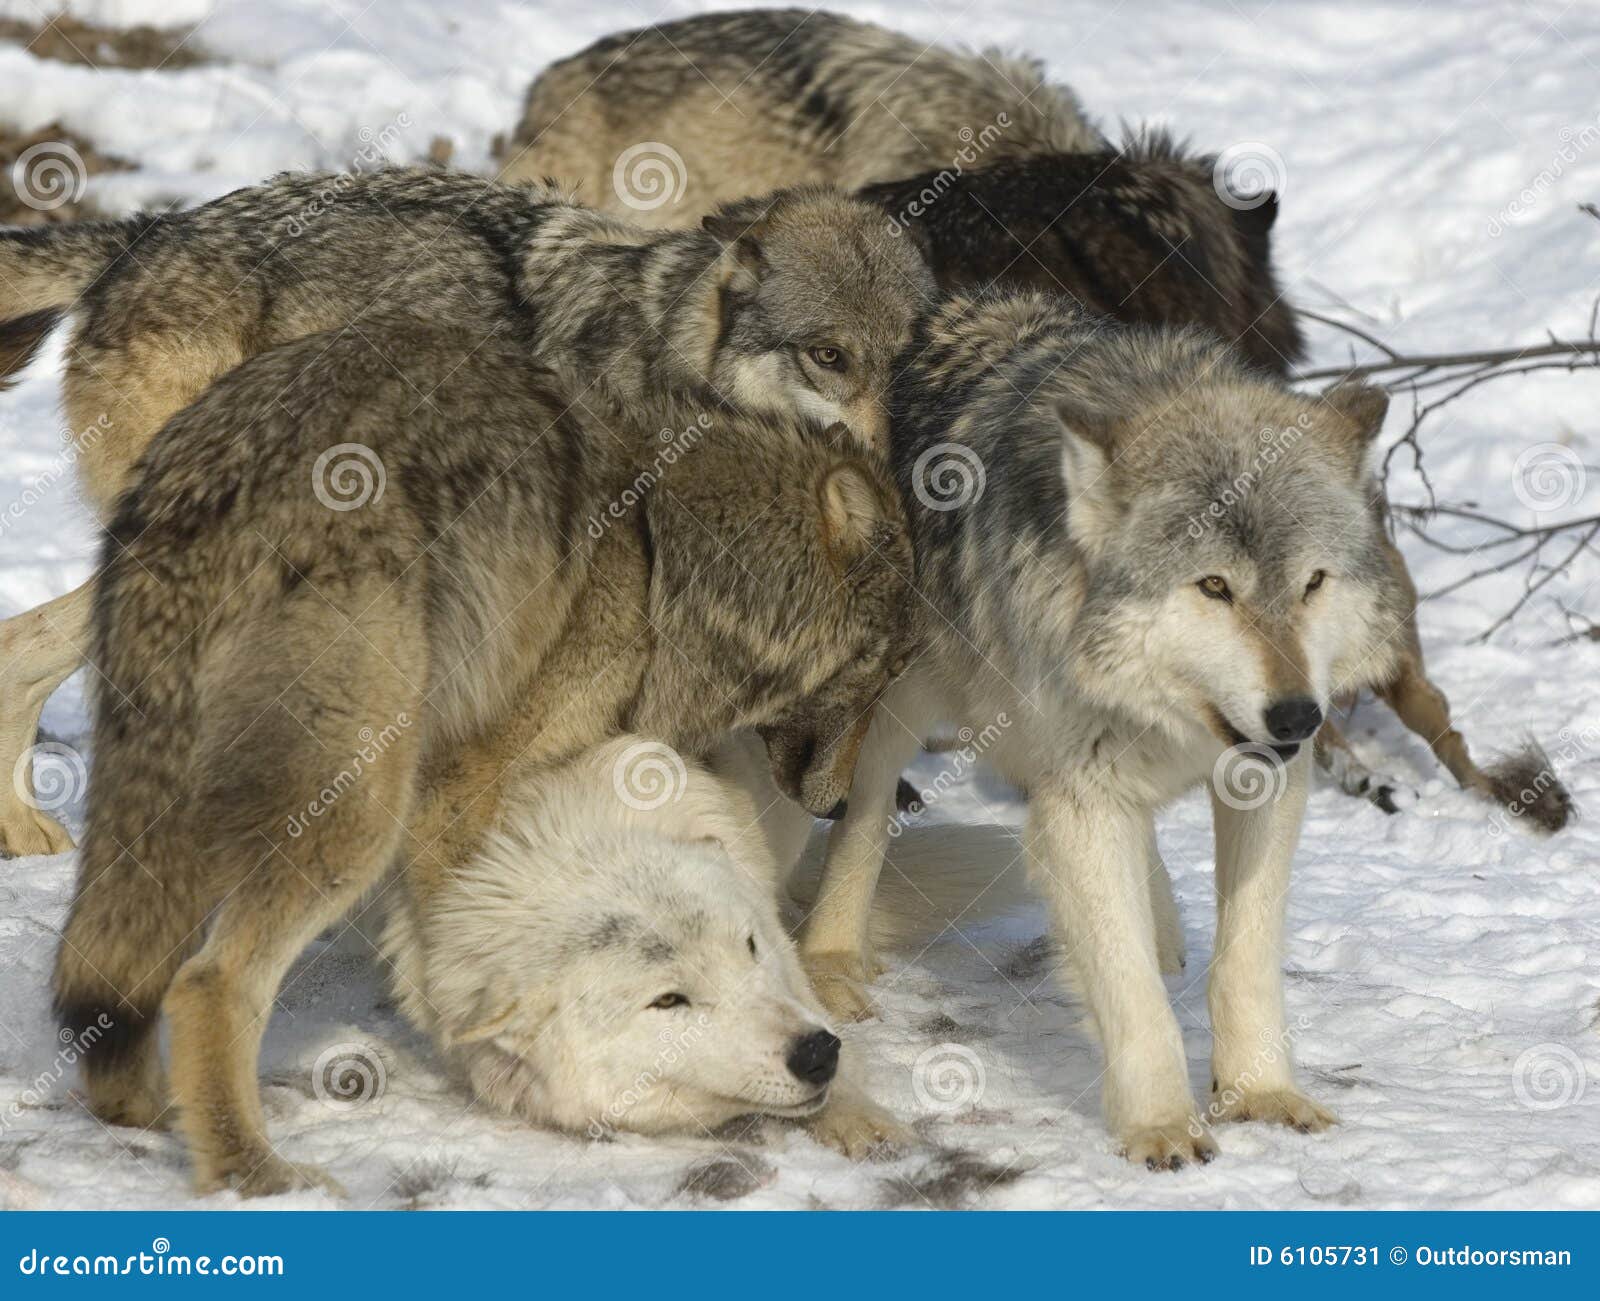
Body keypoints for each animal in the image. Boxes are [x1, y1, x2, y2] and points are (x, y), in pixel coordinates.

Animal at [50, 314, 915, 1196]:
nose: (843, 803)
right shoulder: (462, 782)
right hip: (357, 807)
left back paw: (146, 1109)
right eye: (888, 670)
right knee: (208, 982)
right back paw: (254, 1172)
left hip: (168, 796)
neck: (660, 552)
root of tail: (218, 474)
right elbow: (461, 931)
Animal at [798, 290, 1410, 1168]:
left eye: (1313, 582)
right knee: (866, 815)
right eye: (1214, 586)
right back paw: (833, 962)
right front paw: (1162, 1126)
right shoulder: (1082, 799)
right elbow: (1131, 991)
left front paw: (1261, 1093)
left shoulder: (1265, 780)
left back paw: (1164, 925)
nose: (1298, 715)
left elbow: (1244, 962)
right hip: (902, 697)